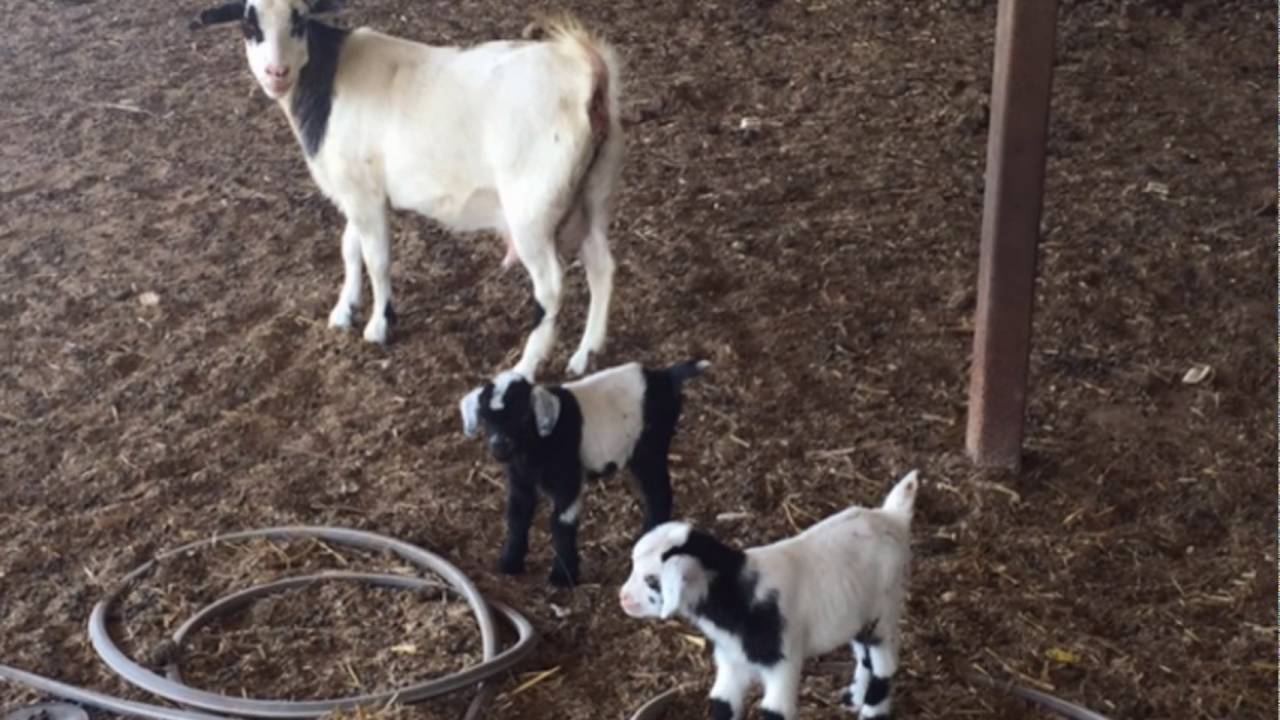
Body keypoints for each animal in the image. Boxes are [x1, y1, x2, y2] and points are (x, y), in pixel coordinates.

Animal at [192, 0, 623, 379]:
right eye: (249, 26)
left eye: (299, 20)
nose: (276, 71)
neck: (328, 82)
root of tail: (586, 72)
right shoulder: (358, 190)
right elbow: (350, 247)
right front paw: (344, 311)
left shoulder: (363, 194)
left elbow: (377, 259)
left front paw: (379, 326)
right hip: (592, 193)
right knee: (601, 266)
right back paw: (586, 353)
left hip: (532, 210)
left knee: (550, 286)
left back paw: (525, 367)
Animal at [460, 360, 711, 587]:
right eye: (485, 418)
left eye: (523, 417)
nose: (499, 446)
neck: (537, 445)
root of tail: (664, 377)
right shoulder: (520, 481)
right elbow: (517, 516)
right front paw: (509, 563)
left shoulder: (567, 480)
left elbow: (560, 523)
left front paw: (562, 577)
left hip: (649, 448)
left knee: (658, 493)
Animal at [619, 471, 919, 720]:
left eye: (652, 580)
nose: (623, 599)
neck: (738, 595)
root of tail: (892, 518)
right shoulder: (731, 662)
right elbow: (722, 705)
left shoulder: (782, 664)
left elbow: (775, 713)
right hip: (857, 612)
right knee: (864, 655)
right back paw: (853, 698)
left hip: (885, 610)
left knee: (884, 664)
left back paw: (871, 712)